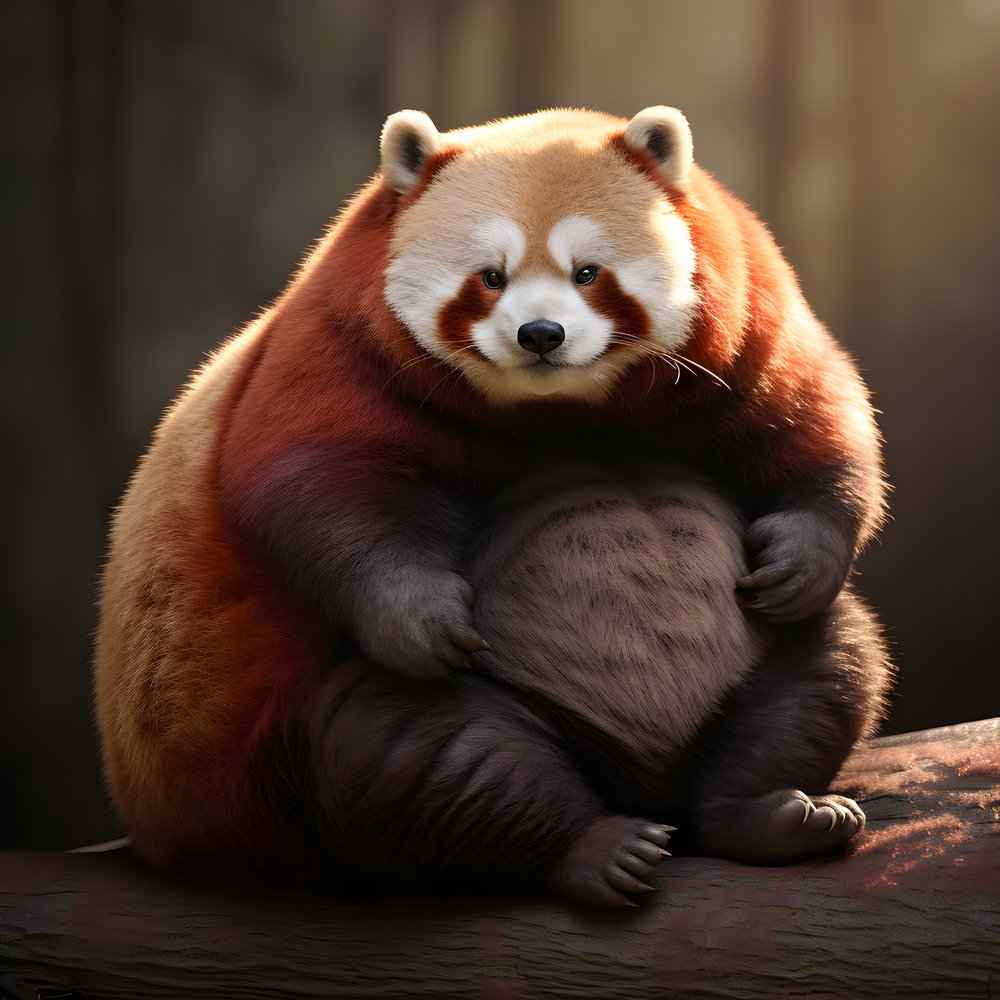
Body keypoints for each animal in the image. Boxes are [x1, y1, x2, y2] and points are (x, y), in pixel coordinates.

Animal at [94, 107, 891, 908]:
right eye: (491, 278)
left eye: (587, 272)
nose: (540, 334)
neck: (566, 409)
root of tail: (646, 788)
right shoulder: (333, 349)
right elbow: (316, 482)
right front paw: (420, 617)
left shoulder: (751, 326)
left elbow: (816, 427)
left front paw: (799, 562)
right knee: (427, 753)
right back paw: (595, 849)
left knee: (826, 661)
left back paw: (767, 816)